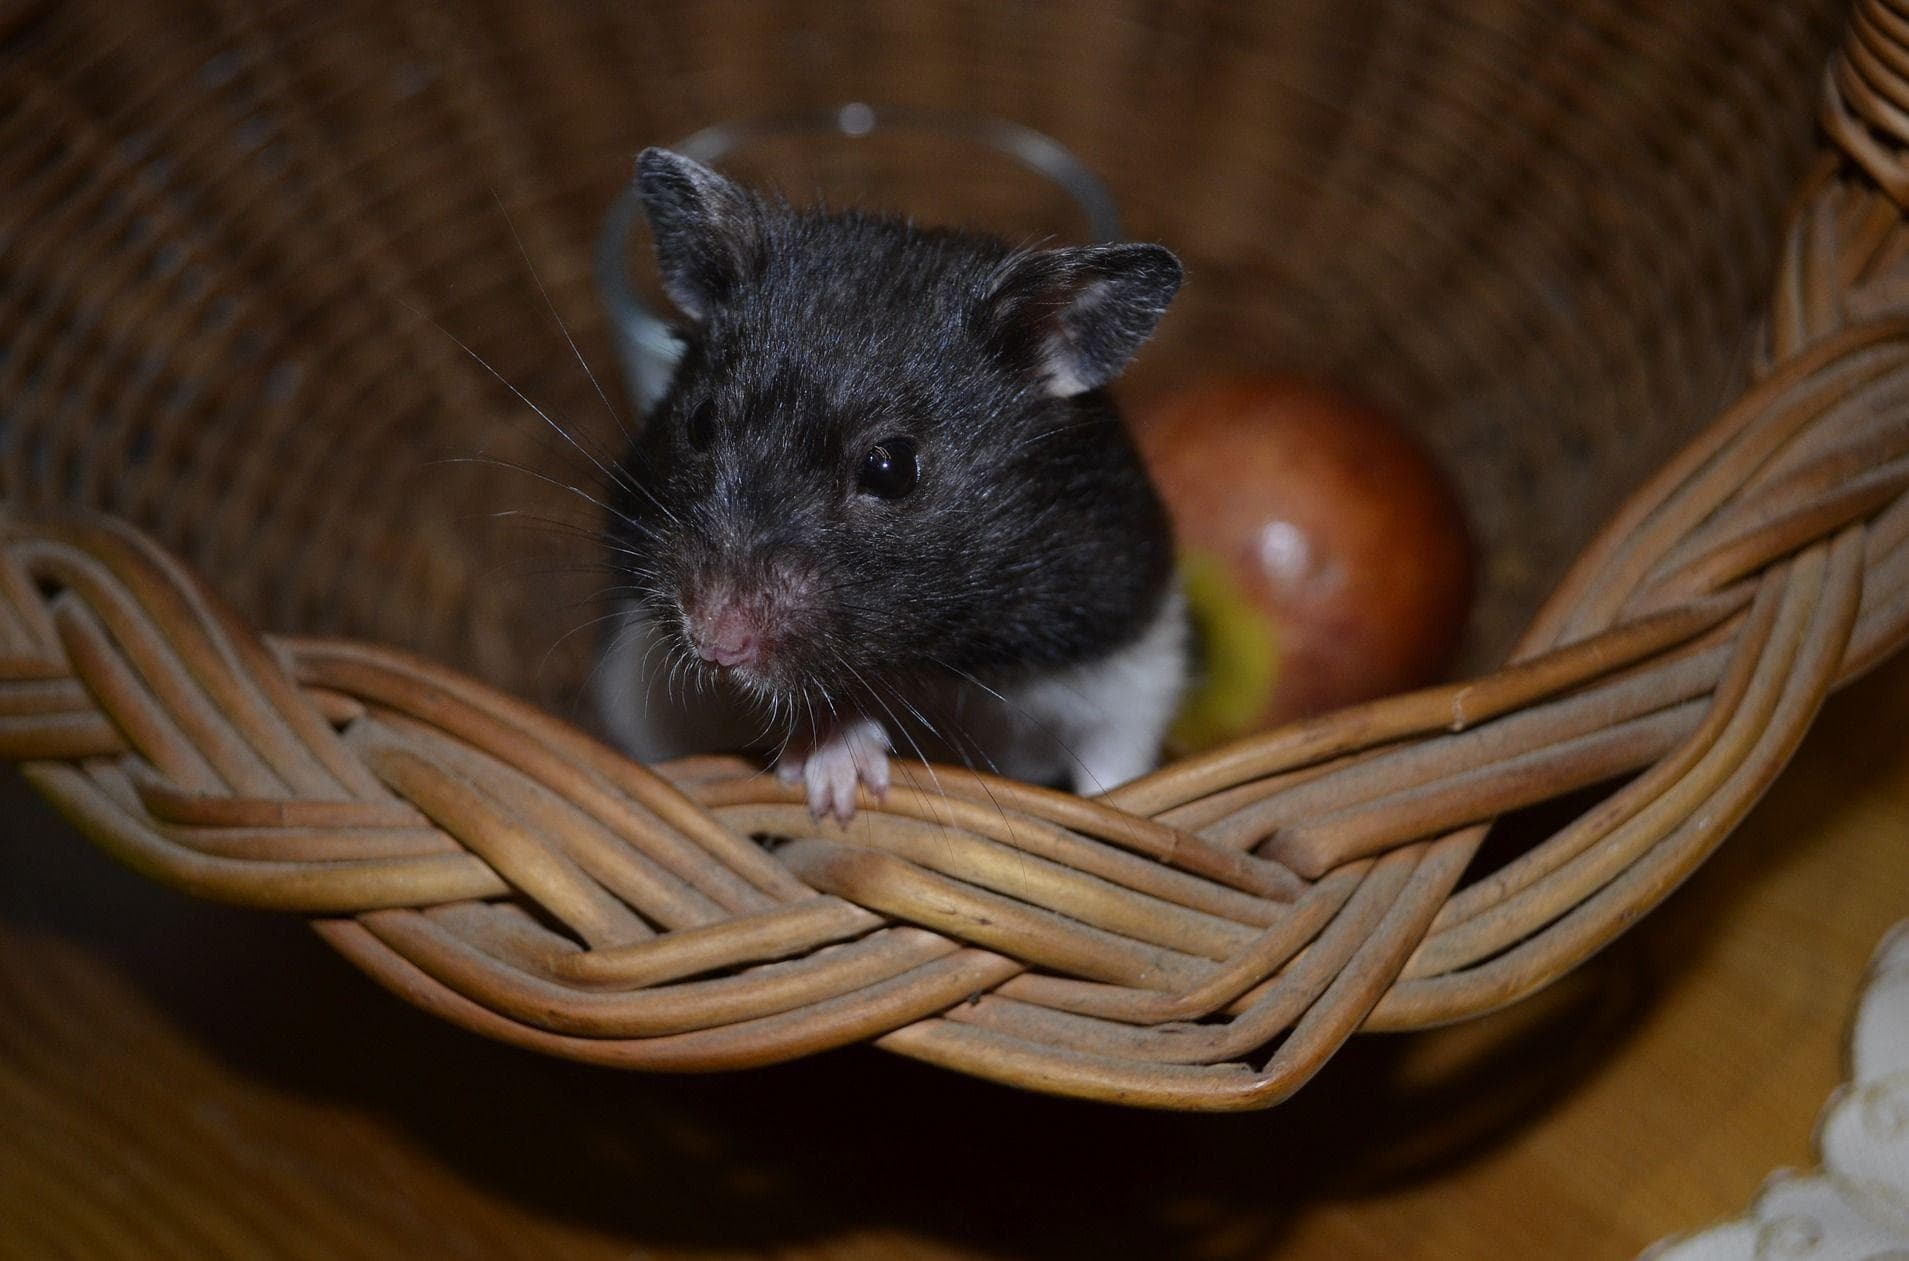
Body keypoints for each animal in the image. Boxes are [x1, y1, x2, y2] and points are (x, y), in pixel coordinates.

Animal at [594, 147, 1188, 821]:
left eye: (893, 468)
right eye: (700, 421)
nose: (717, 645)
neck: (946, 658)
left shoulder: (1135, 652)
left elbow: (1118, 764)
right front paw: (838, 784)